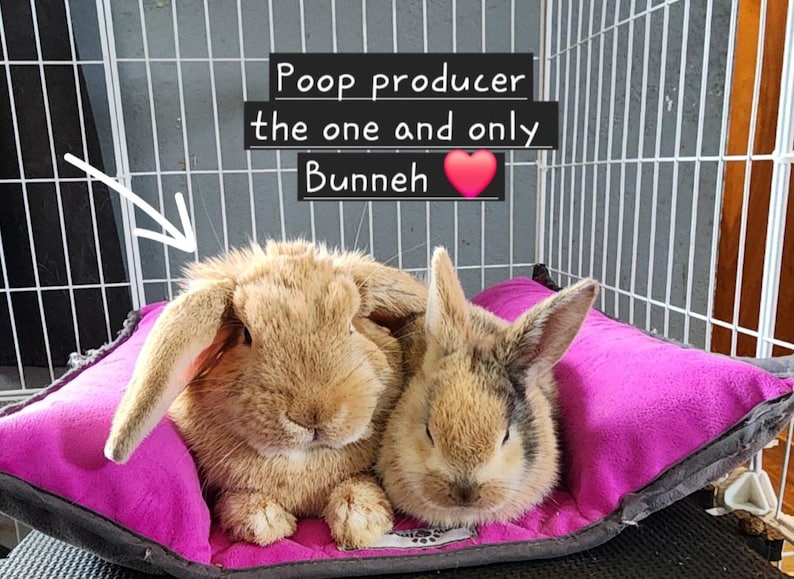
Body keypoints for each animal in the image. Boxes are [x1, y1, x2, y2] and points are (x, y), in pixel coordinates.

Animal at [103, 239, 428, 549]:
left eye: (351, 326)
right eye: (247, 335)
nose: (313, 415)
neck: (303, 461)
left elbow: (359, 484)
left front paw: (360, 519)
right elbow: (236, 501)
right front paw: (265, 521)